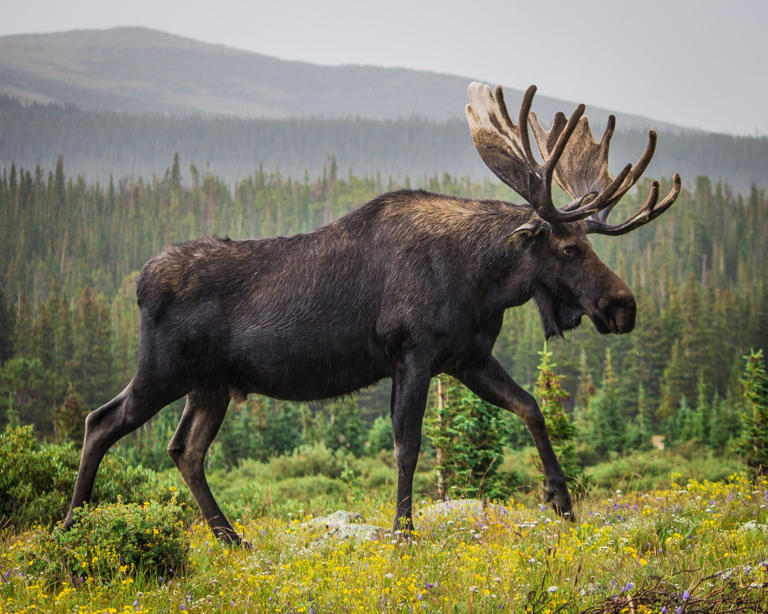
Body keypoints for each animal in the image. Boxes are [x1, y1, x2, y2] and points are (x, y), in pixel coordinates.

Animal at [63, 83, 680, 543]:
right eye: (569, 248)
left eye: (588, 242)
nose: (623, 306)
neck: (481, 281)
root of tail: (140, 282)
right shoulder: (413, 355)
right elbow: (408, 445)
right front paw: (404, 534)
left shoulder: (467, 358)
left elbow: (530, 406)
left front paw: (562, 500)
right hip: (164, 370)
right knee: (101, 422)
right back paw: (71, 525)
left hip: (209, 385)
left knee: (185, 450)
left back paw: (231, 537)